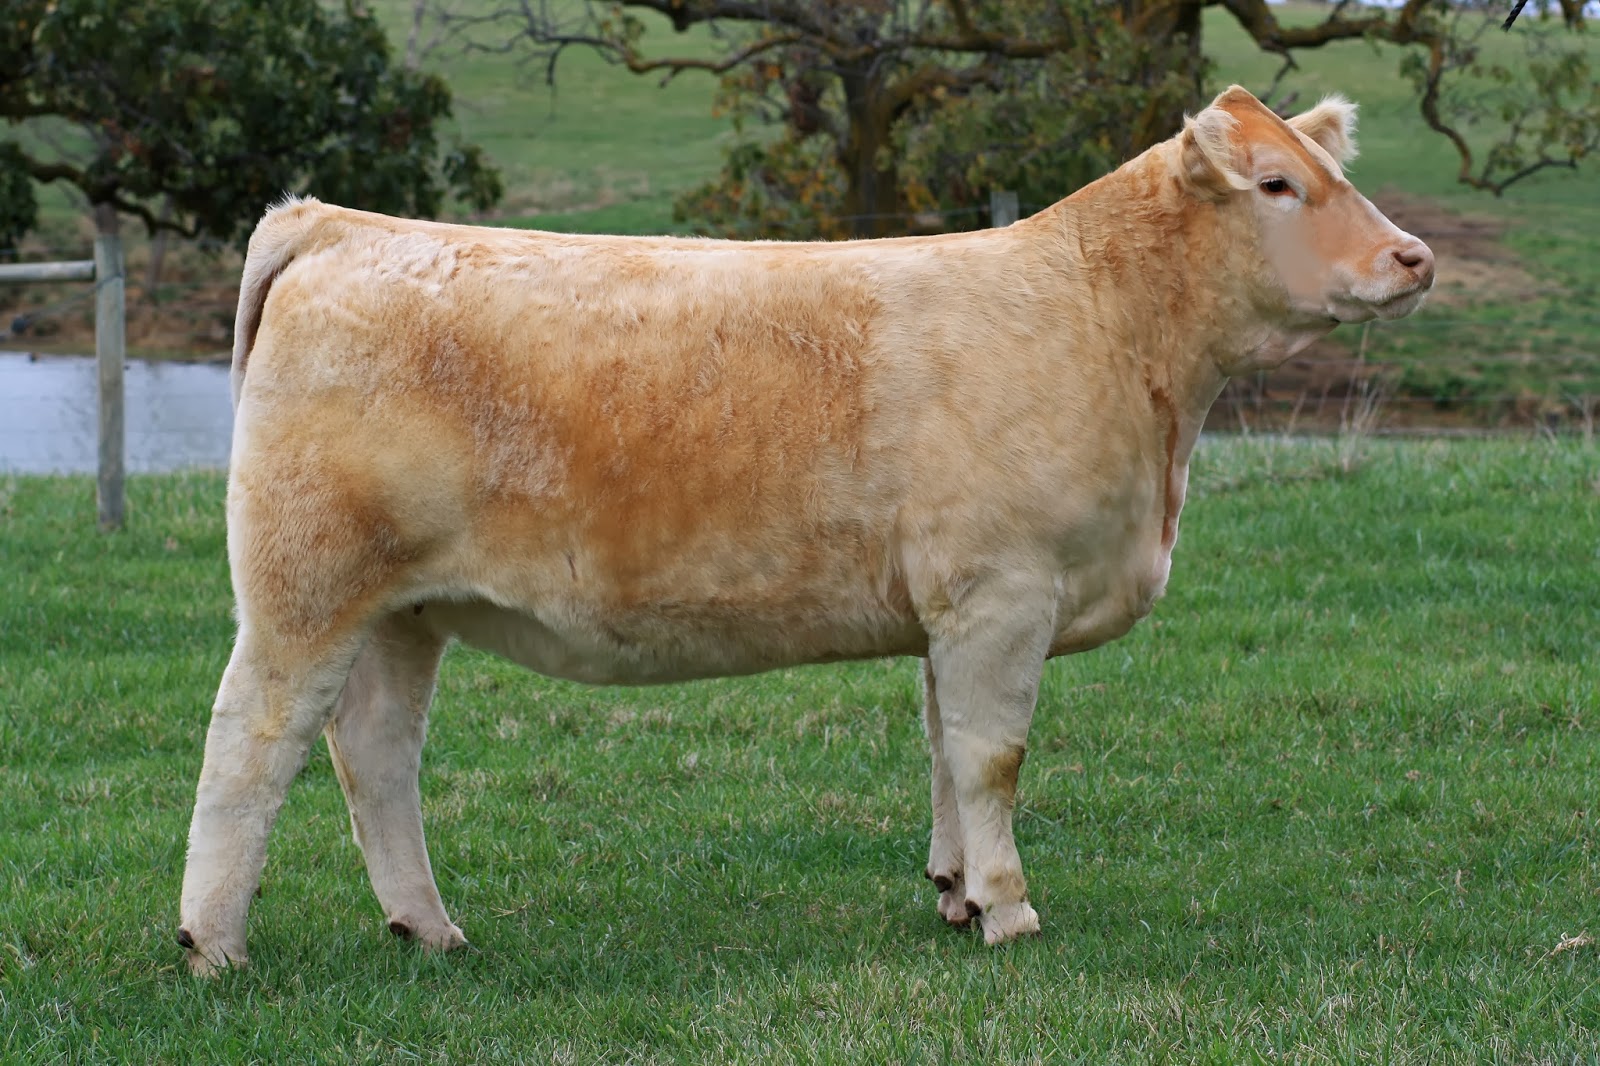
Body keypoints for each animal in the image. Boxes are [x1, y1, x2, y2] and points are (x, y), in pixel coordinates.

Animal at [178, 86, 1433, 974]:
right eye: (1275, 183)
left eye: (1336, 173)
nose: (1412, 257)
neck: (1111, 332)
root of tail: (335, 222)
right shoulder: (1001, 592)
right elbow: (994, 755)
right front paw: (1009, 909)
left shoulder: (951, 609)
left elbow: (943, 747)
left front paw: (954, 891)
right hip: (304, 590)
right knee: (253, 738)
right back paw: (213, 944)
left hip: (403, 609)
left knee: (376, 749)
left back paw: (427, 928)